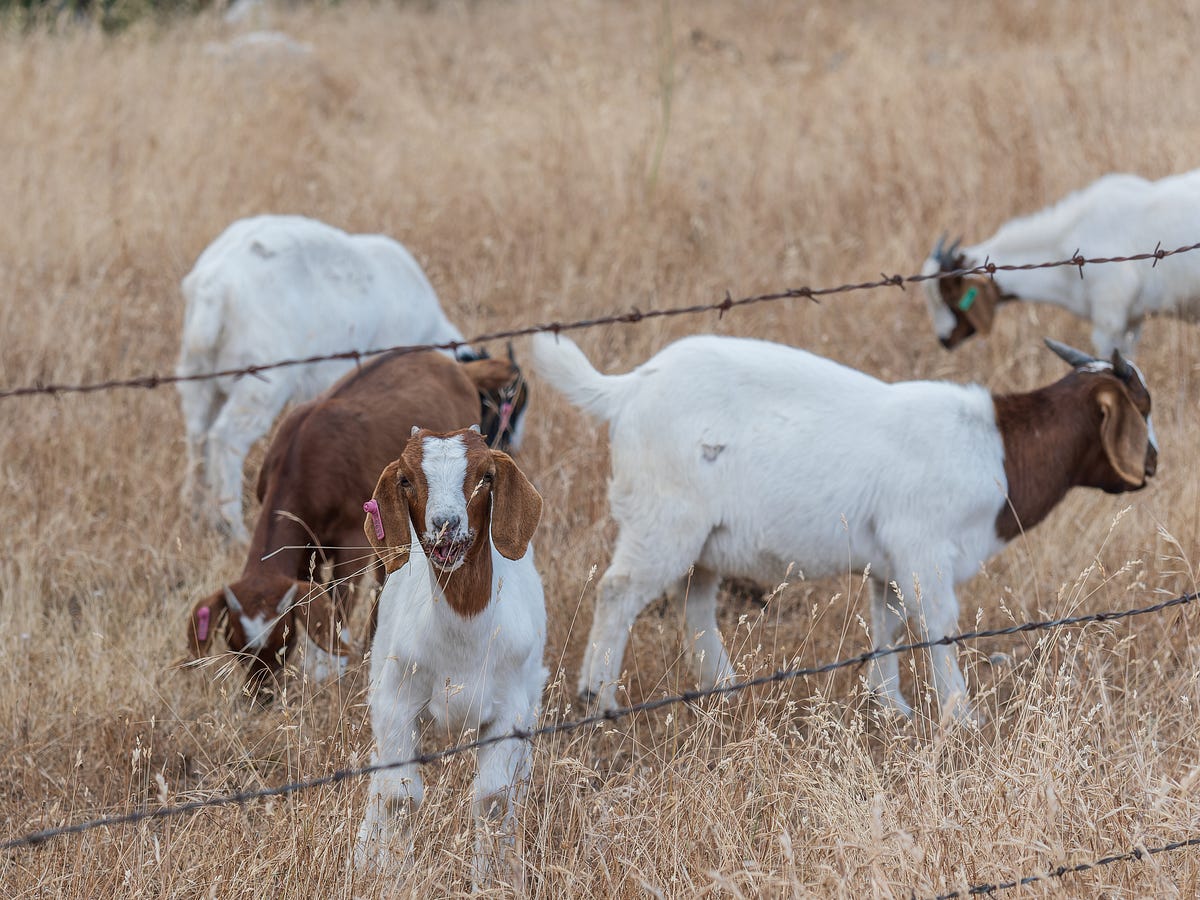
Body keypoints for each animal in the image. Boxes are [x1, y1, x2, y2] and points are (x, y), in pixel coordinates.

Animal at [176, 214, 474, 543]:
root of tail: (213, 287)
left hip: (197, 375)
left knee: (197, 435)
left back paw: (195, 511)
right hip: (261, 381)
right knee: (225, 438)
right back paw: (232, 528)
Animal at [185, 350, 524, 702]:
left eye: (283, 640)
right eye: (236, 646)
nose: (260, 696)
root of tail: (455, 367)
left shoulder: (351, 543)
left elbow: (339, 602)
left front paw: (331, 671)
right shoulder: (306, 551)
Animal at [355, 426, 545, 887]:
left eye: (486, 476)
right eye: (405, 479)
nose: (446, 525)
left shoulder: (510, 711)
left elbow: (493, 799)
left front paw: (490, 883)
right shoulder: (397, 703)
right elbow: (399, 795)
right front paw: (393, 876)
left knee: (517, 787)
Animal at [532, 332, 1157, 720]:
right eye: (1140, 409)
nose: (1152, 464)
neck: (998, 448)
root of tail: (628, 388)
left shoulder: (891, 561)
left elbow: (889, 622)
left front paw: (892, 706)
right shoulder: (924, 547)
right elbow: (936, 624)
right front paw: (961, 717)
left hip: (704, 537)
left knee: (695, 598)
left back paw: (722, 687)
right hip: (664, 520)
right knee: (618, 591)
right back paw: (599, 698)